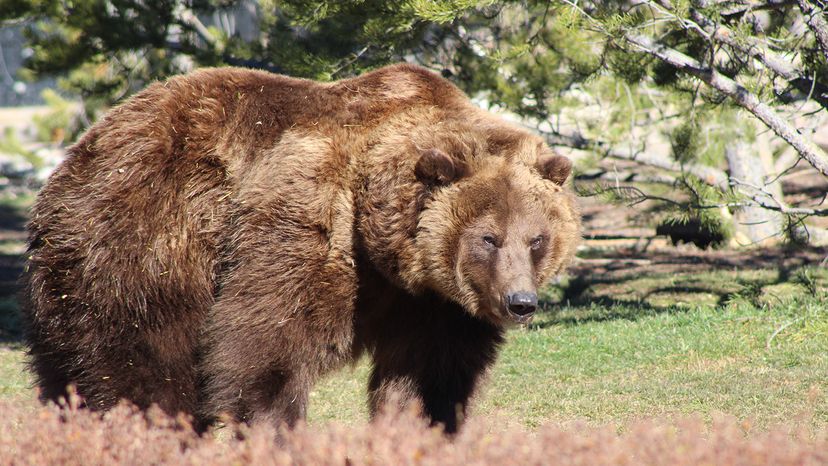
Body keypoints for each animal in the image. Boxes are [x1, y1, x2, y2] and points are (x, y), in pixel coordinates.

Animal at [22, 62, 580, 434]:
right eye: (488, 237)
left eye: (537, 238)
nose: (520, 302)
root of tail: (81, 147)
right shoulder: (307, 218)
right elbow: (266, 346)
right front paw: (276, 426)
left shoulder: (437, 304)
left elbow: (428, 378)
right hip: (142, 244)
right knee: (139, 365)